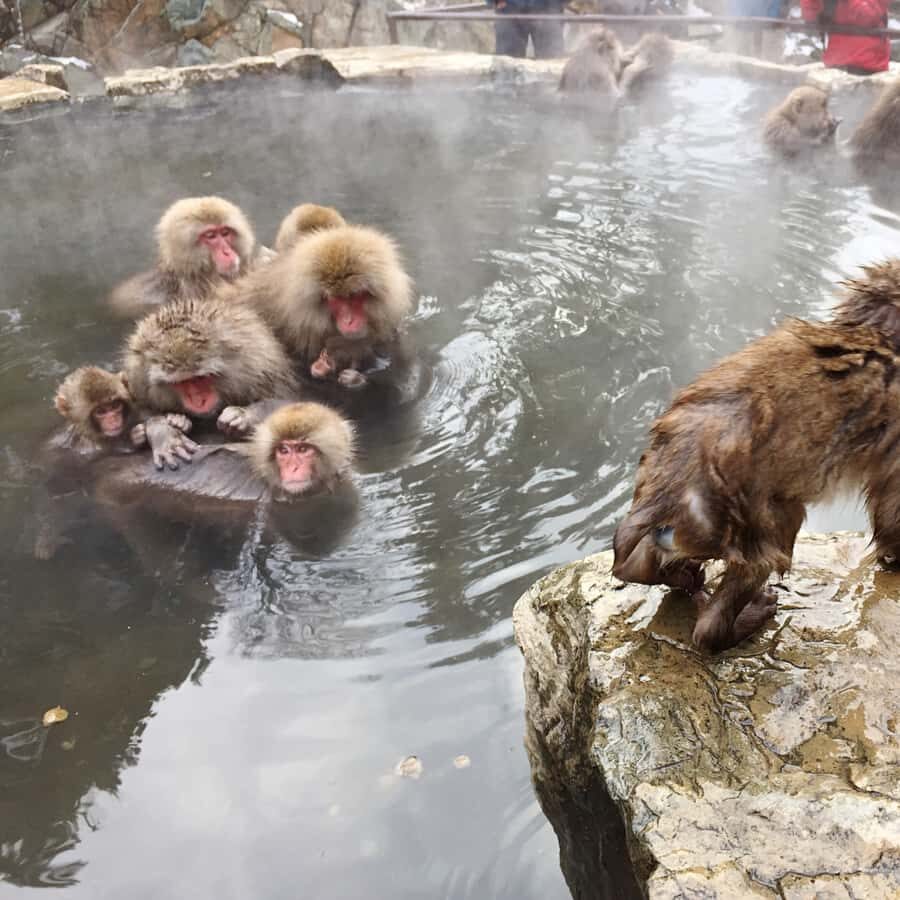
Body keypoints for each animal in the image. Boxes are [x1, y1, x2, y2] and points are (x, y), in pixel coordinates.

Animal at [123, 296, 299, 467]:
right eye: (181, 383)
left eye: (200, 377)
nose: (198, 401)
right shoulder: (139, 377)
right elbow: (142, 407)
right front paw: (165, 432)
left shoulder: (260, 364)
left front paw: (244, 415)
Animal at [613, 258, 900, 654]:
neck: (879, 331)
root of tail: (666, 492)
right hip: (743, 521)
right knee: (757, 565)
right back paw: (742, 618)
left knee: (634, 566)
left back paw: (680, 578)